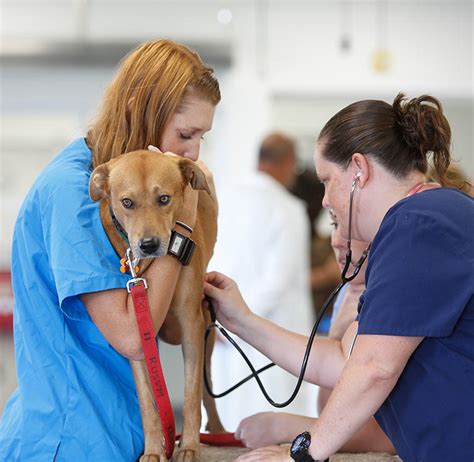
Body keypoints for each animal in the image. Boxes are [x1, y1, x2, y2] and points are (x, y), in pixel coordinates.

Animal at [90, 150, 224, 460]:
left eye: (164, 198)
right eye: (127, 202)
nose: (148, 245)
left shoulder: (191, 324)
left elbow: (191, 395)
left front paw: (189, 446)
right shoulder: (138, 333)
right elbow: (147, 403)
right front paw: (153, 449)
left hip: (206, 330)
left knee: (207, 389)